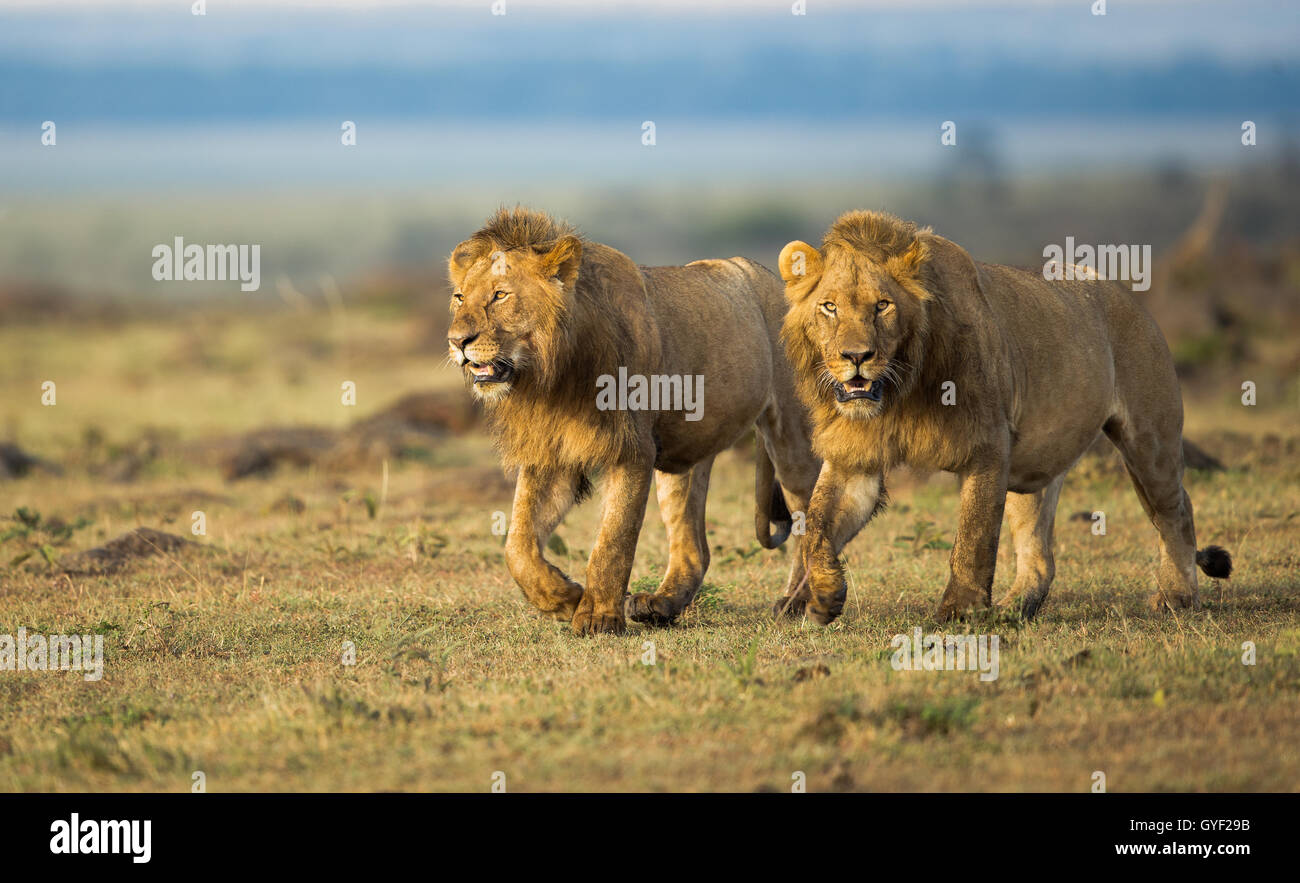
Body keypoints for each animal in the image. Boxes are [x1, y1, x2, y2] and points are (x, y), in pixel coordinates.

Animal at [446, 207, 820, 635]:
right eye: (459, 297)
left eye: (500, 295)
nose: (456, 341)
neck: (550, 378)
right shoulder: (549, 455)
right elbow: (518, 547)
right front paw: (565, 598)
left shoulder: (632, 450)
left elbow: (613, 540)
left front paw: (598, 617)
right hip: (684, 458)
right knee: (695, 547)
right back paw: (660, 605)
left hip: (791, 435)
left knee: (807, 521)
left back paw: (796, 602)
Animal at [773, 210, 1232, 624]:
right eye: (829, 307)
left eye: (882, 305)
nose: (856, 357)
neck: (899, 392)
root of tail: (1127, 295)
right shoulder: (853, 459)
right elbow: (817, 528)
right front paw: (822, 597)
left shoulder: (988, 445)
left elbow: (973, 537)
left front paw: (959, 611)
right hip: (1034, 464)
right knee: (1040, 555)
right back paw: (1014, 608)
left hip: (1149, 439)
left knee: (1176, 511)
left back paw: (1176, 596)